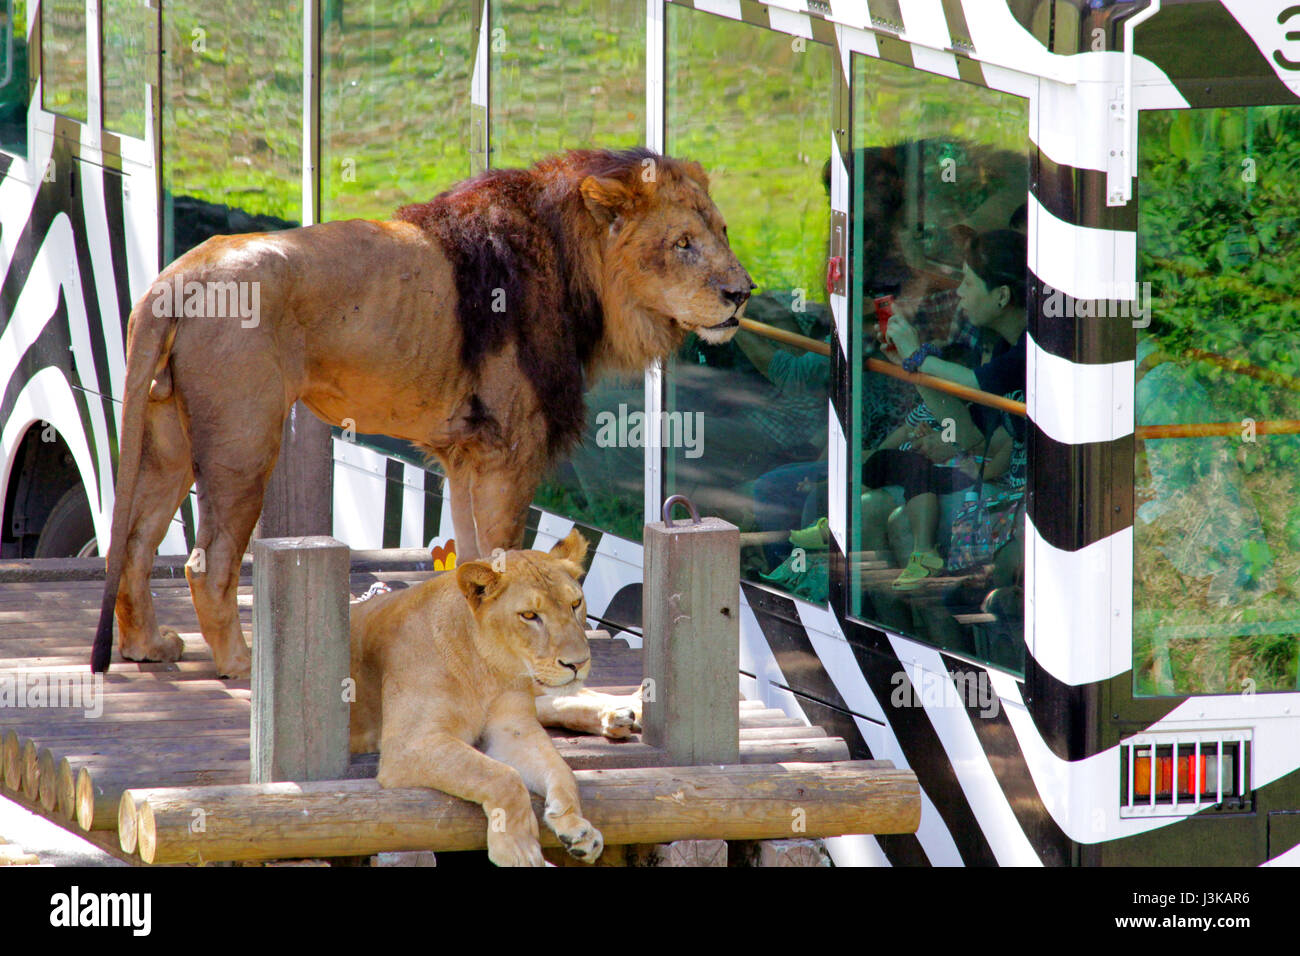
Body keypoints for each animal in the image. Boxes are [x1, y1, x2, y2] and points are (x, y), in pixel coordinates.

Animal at [91, 148, 752, 677]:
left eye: (723, 230)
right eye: (682, 244)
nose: (742, 293)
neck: (575, 267)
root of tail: (178, 276)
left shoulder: (467, 459)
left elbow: (474, 561)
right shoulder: (507, 453)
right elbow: (505, 559)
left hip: (169, 439)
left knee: (137, 544)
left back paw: (147, 646)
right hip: (244, 443)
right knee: (208, 564)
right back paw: (242, 664)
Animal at [349, 529, 612, 866]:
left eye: (575, 603)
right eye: (529, 615)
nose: (578, 663)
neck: (486, 668)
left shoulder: (513, 730)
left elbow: (561, 770)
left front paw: (574, 826)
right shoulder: (408, 745)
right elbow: (502, 776)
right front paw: (518, 847)